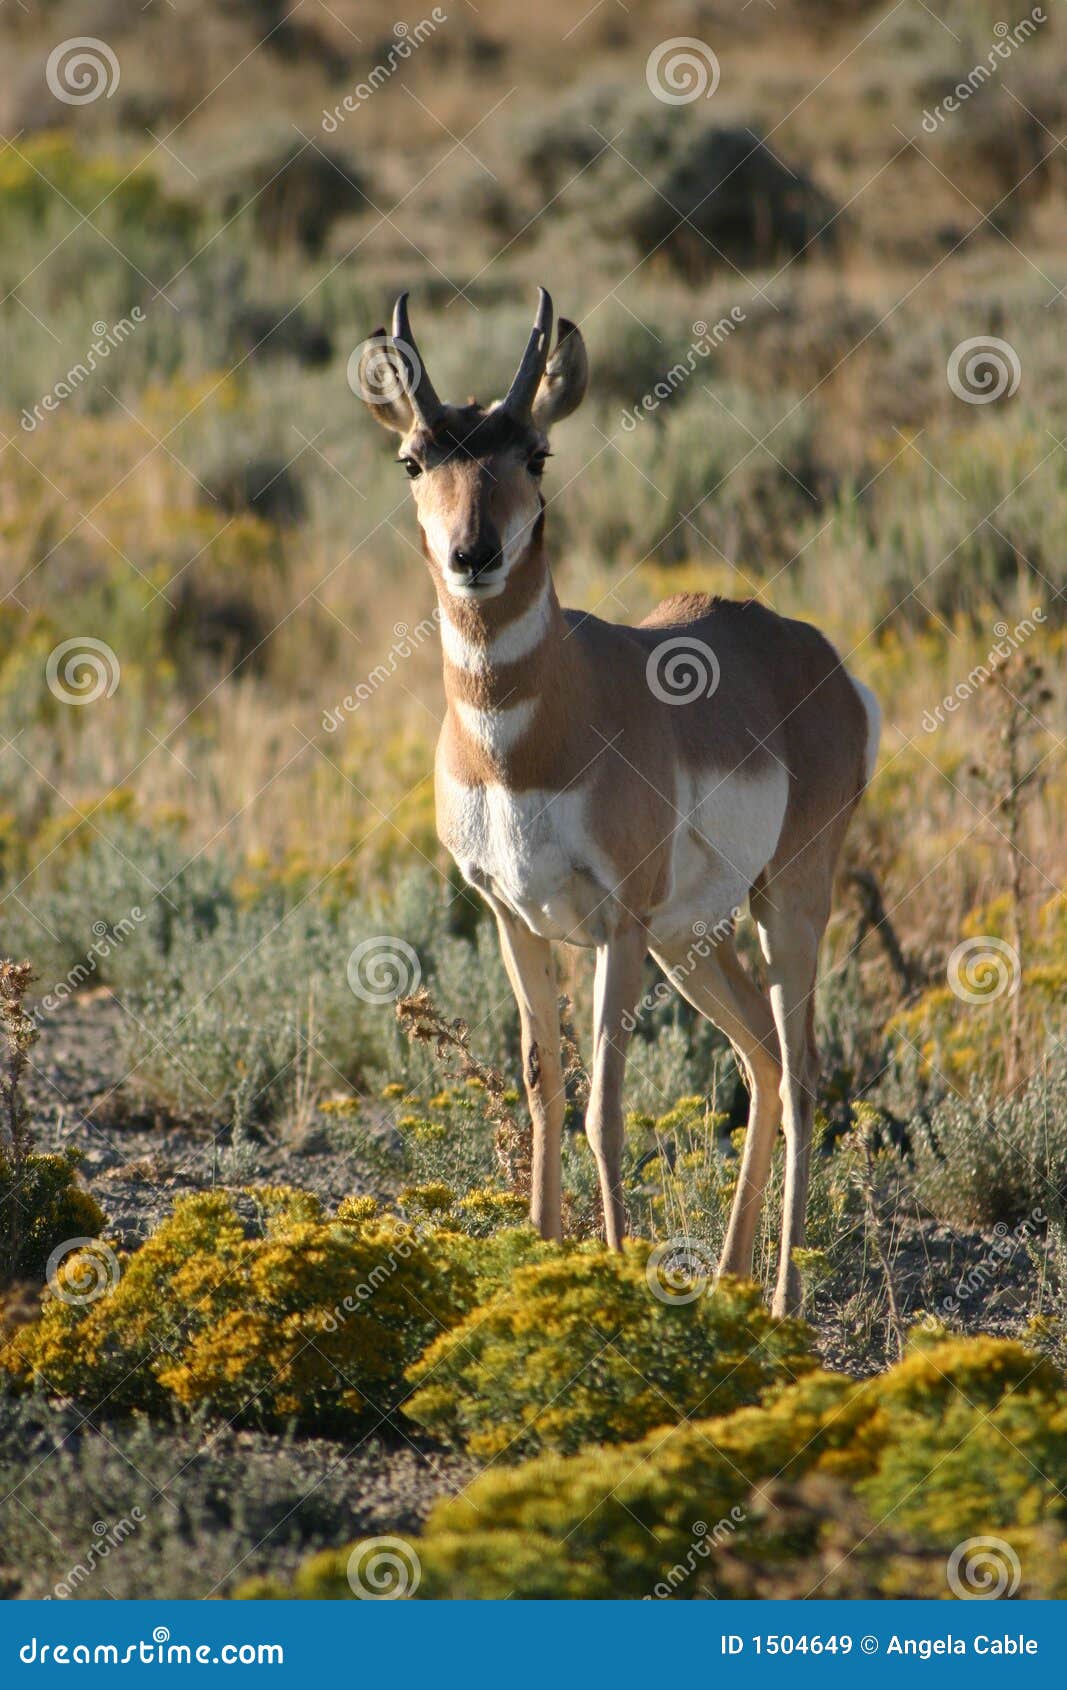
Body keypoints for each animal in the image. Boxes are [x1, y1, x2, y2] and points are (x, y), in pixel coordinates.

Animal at [357, 288, 880, 1316]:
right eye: (413, 458)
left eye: (535, 452)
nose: (474, 554)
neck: (531, 738)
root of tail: (817, 658)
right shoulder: (513, 919)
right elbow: (542, 1086)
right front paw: (540, 1259)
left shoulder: (615, 927)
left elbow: (603, 1105)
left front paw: (609, 1269)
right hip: (694, 939)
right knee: (760, 1059)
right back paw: (728, 1279)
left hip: (784, 902)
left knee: (802, 1072)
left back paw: (782, 1304)